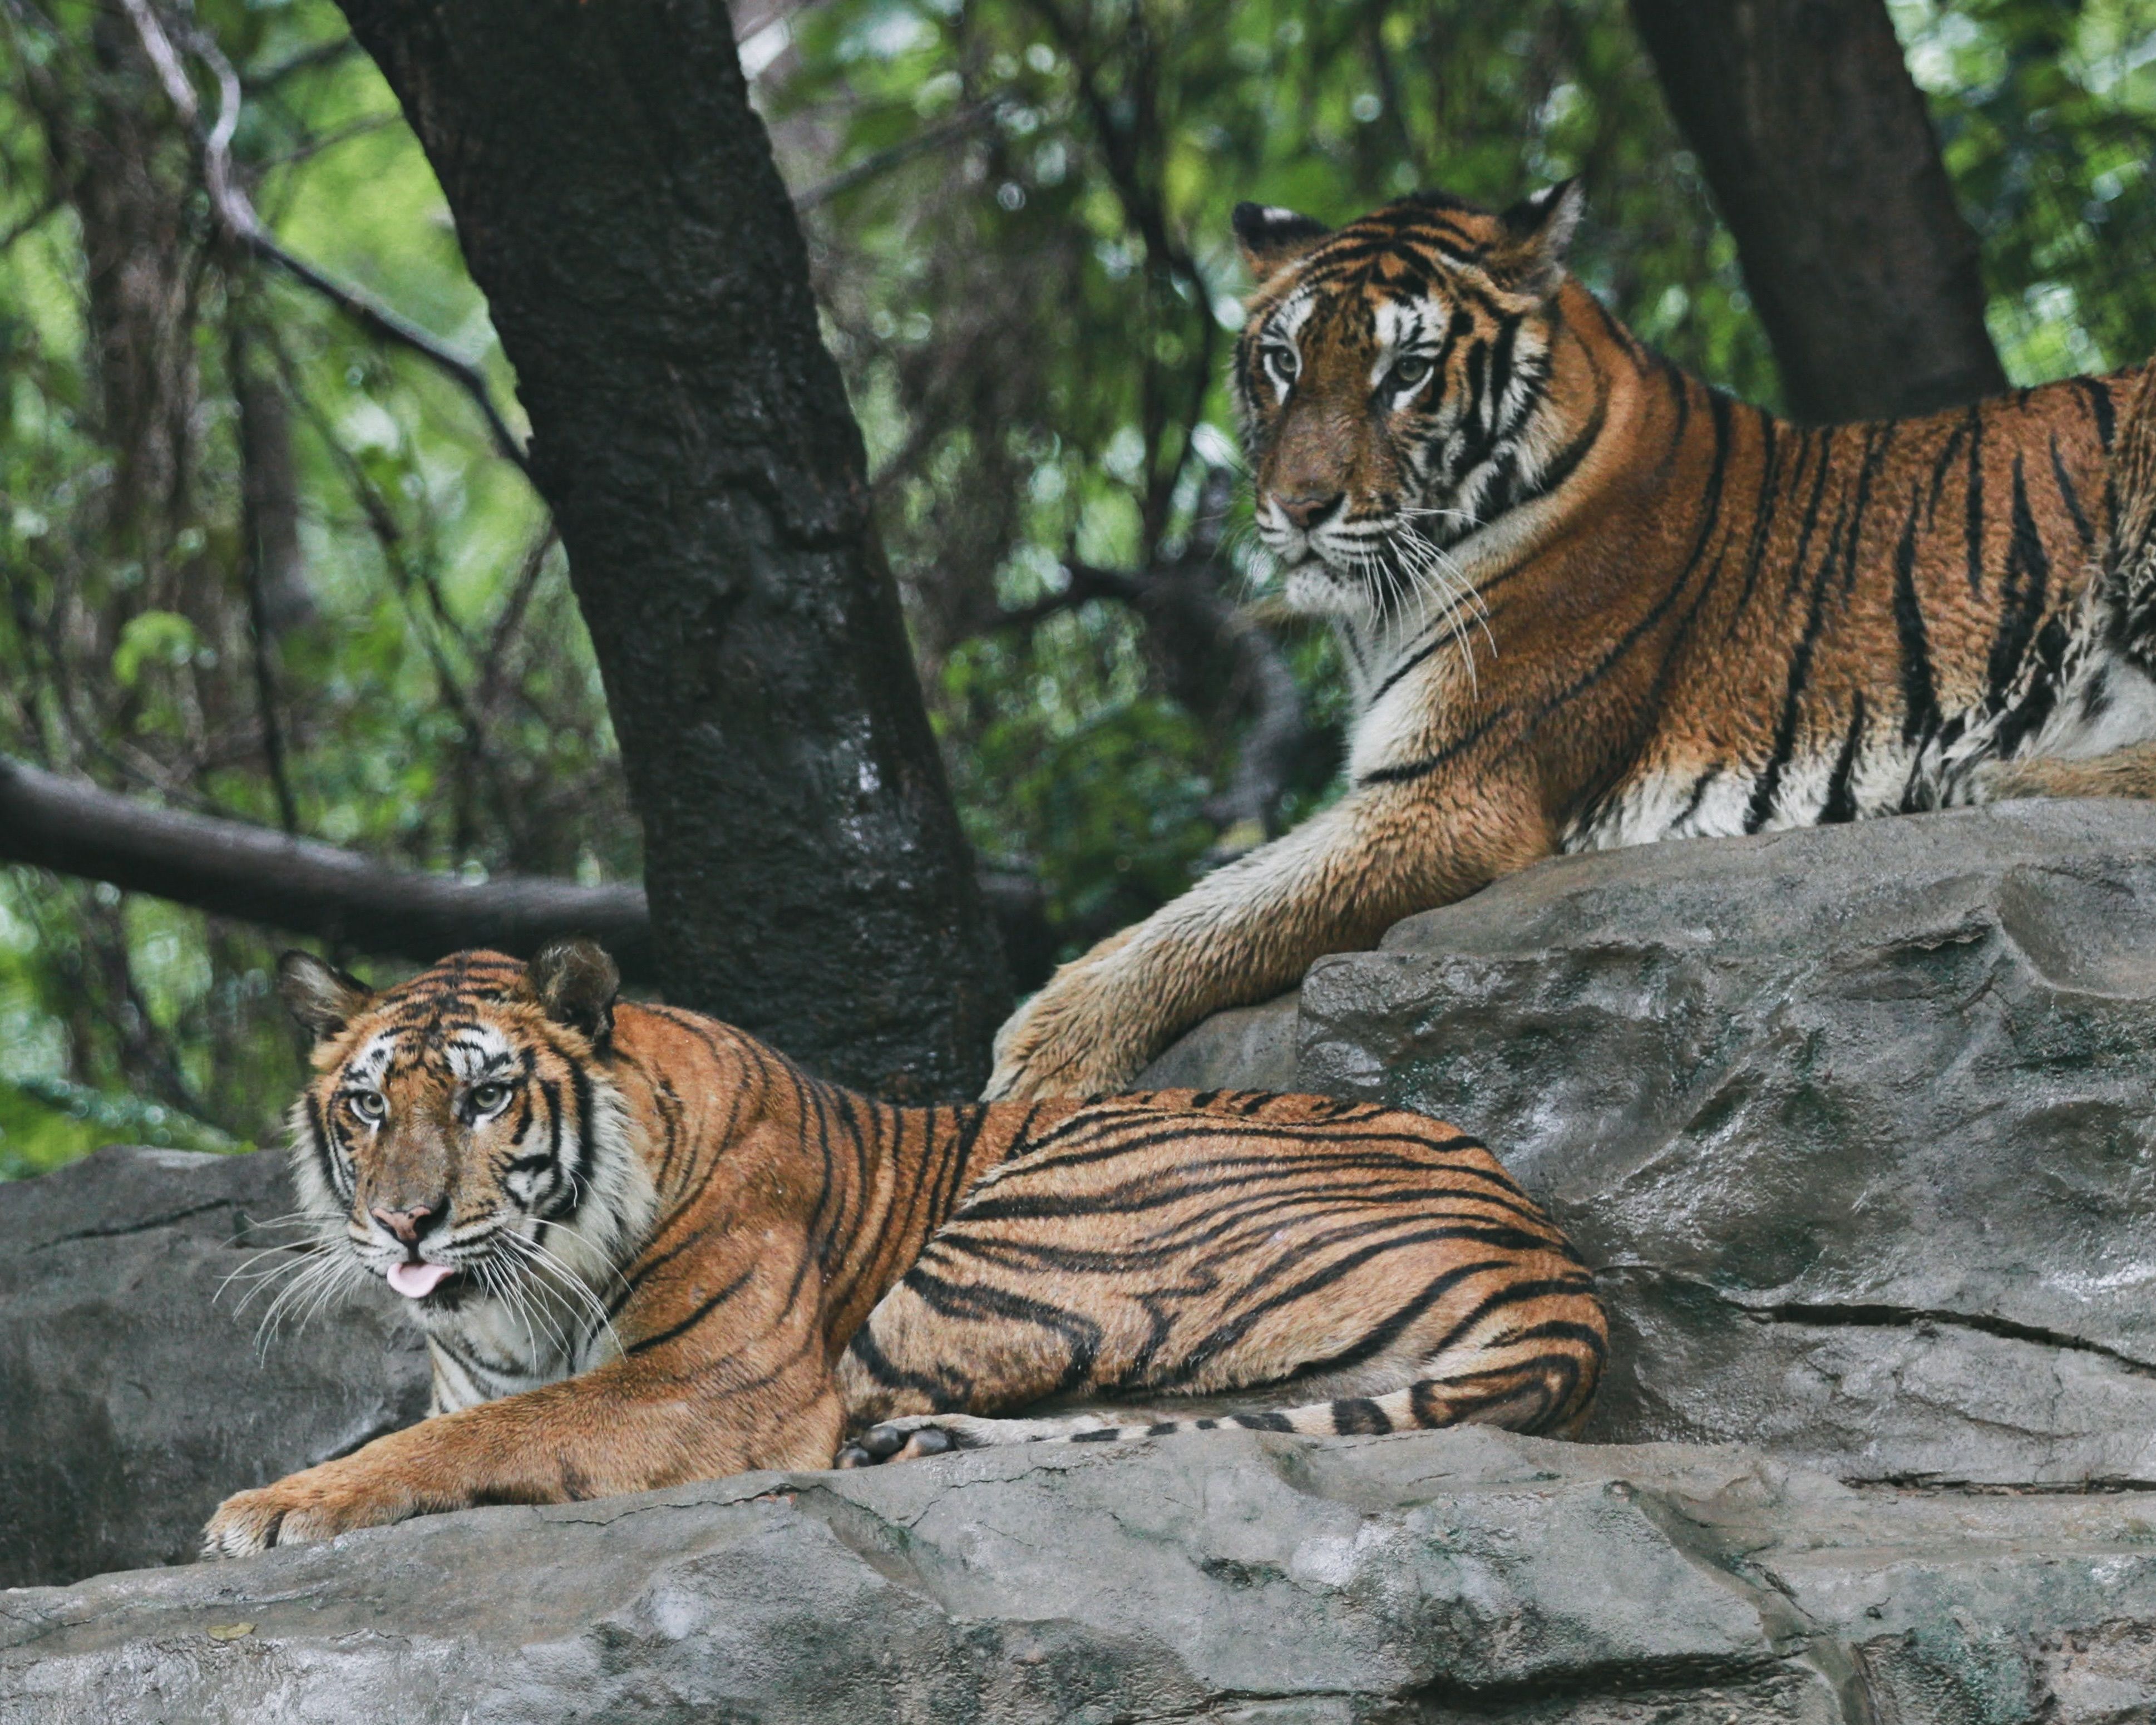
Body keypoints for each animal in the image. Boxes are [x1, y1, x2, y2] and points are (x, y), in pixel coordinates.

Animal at [200, 938, 1604, 1556]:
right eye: (367, 1105)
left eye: (488, 1096)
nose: (404, 1220)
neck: (513, 1303)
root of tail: (1556, 1266)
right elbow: (464, 1418)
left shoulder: (721, 1386)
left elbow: (484, 1433)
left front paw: (268, 1506)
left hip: (1017, 1231)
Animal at [983, 181, 2156, 1101]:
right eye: (1282, 362)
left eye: (1405, 374)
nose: (1300, 509)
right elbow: (1202, 902)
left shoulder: (1445, 792)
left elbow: (1211, 915)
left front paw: (1034, 1057)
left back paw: (1999, 773)